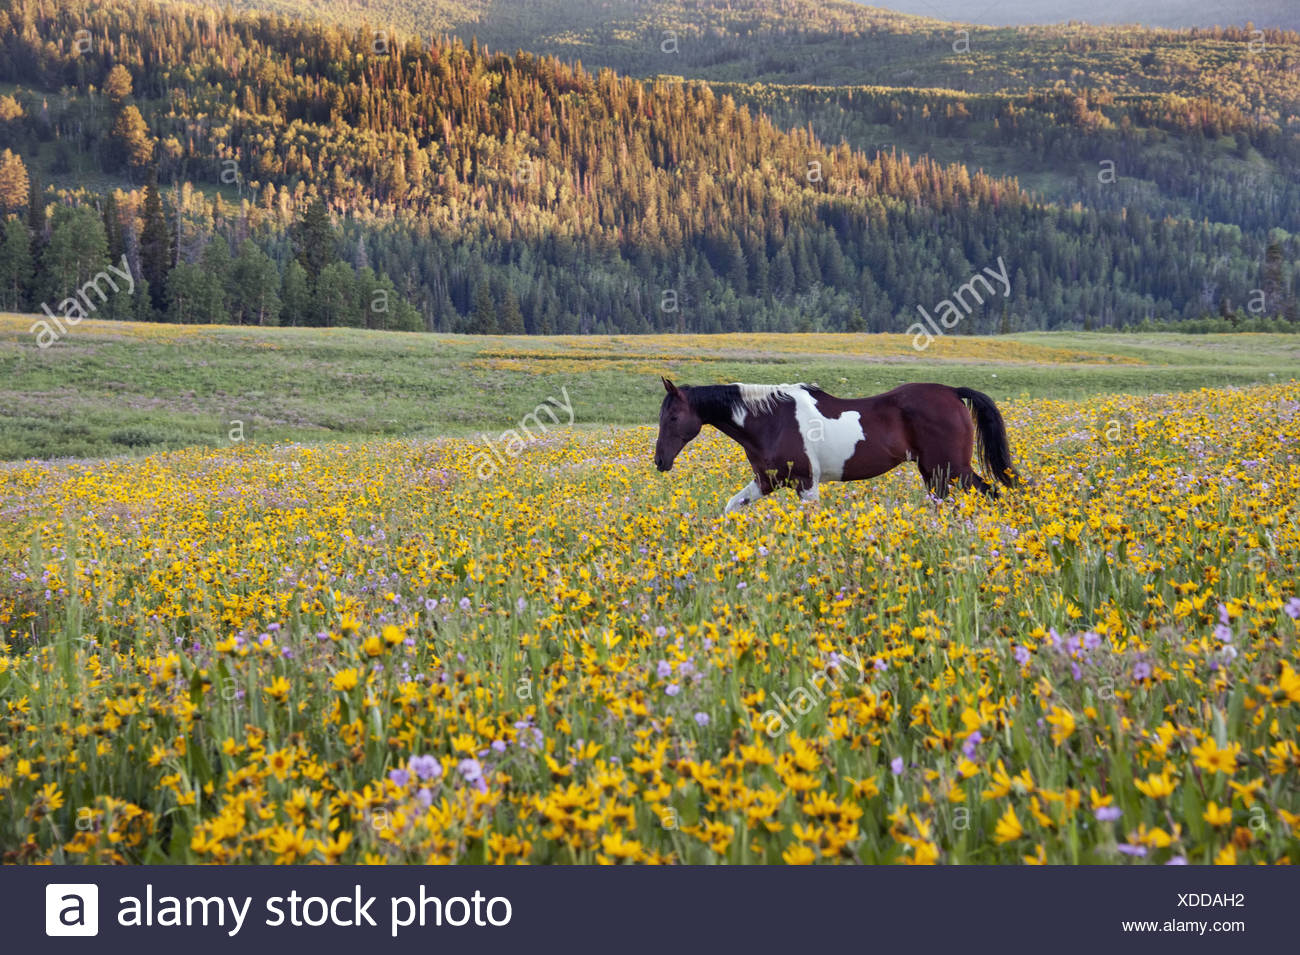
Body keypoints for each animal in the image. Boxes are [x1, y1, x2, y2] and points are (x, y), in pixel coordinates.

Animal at [653, 379, 1019, 513]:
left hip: (954, 469)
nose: (660, 461)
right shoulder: (766, 482)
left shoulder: (806, 483)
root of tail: (952, 392)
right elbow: (732, 506)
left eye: (673, 417)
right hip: (935, 473)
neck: (770, 421)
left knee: (992, 493)